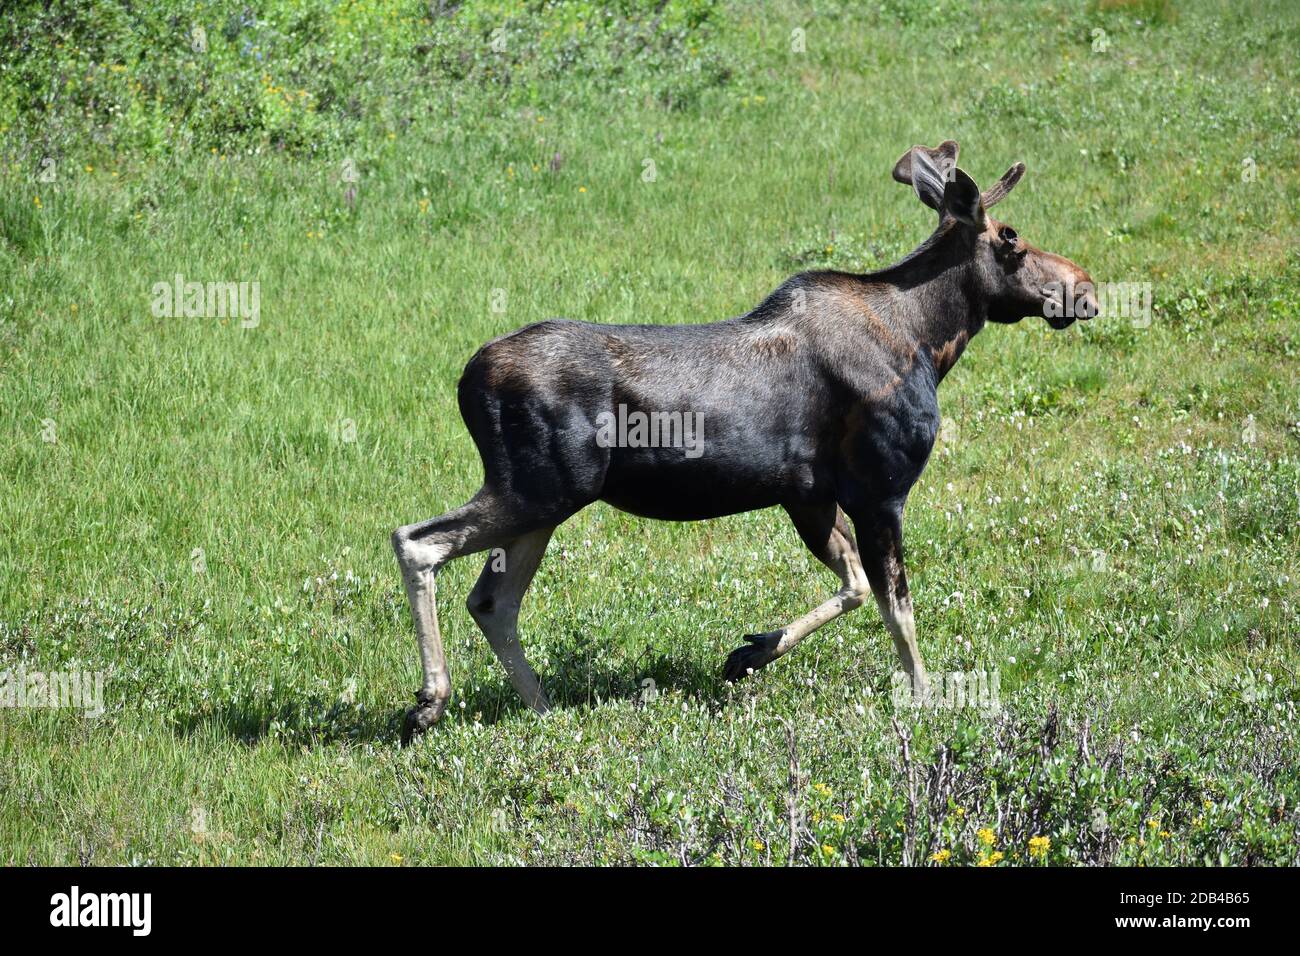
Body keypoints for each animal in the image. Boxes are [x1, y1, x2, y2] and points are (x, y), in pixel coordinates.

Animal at [391, 140, 1097, 744]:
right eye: (1011, 238)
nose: (1084, 287)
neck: (930, 341)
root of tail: (467, 379)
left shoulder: (806, 496)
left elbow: (854, 584)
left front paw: (749, 653)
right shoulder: (879, 488)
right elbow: (896, 604)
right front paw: (926, 700)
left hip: (544, 503)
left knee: (492, 601)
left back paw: (544, 710)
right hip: (538, 488)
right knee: (417, 542)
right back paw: (431, 701)